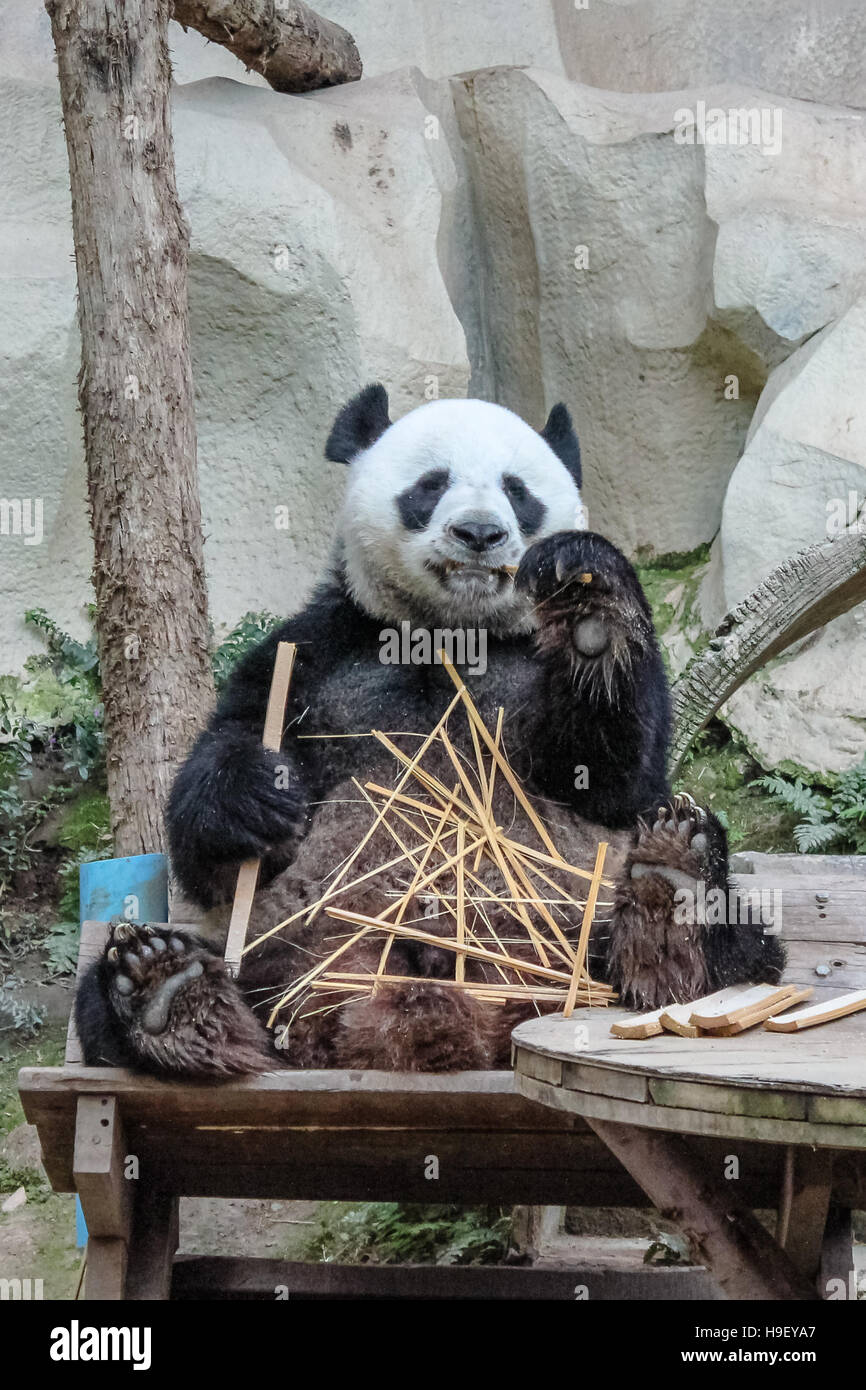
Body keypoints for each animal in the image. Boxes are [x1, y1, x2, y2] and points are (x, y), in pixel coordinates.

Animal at [75, 385, 785, 1075]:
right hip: (274, 953)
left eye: (517, 491)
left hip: (589, 929)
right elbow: (215, 810)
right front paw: (256, 793)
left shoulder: (534, 671)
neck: (448, 634)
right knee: (121, 1003)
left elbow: (616, 777)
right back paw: (166, 990)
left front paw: (590, 601)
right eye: (431, 484)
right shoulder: (315, 650)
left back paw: (673, 891)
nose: (479, 532)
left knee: (735, 952)